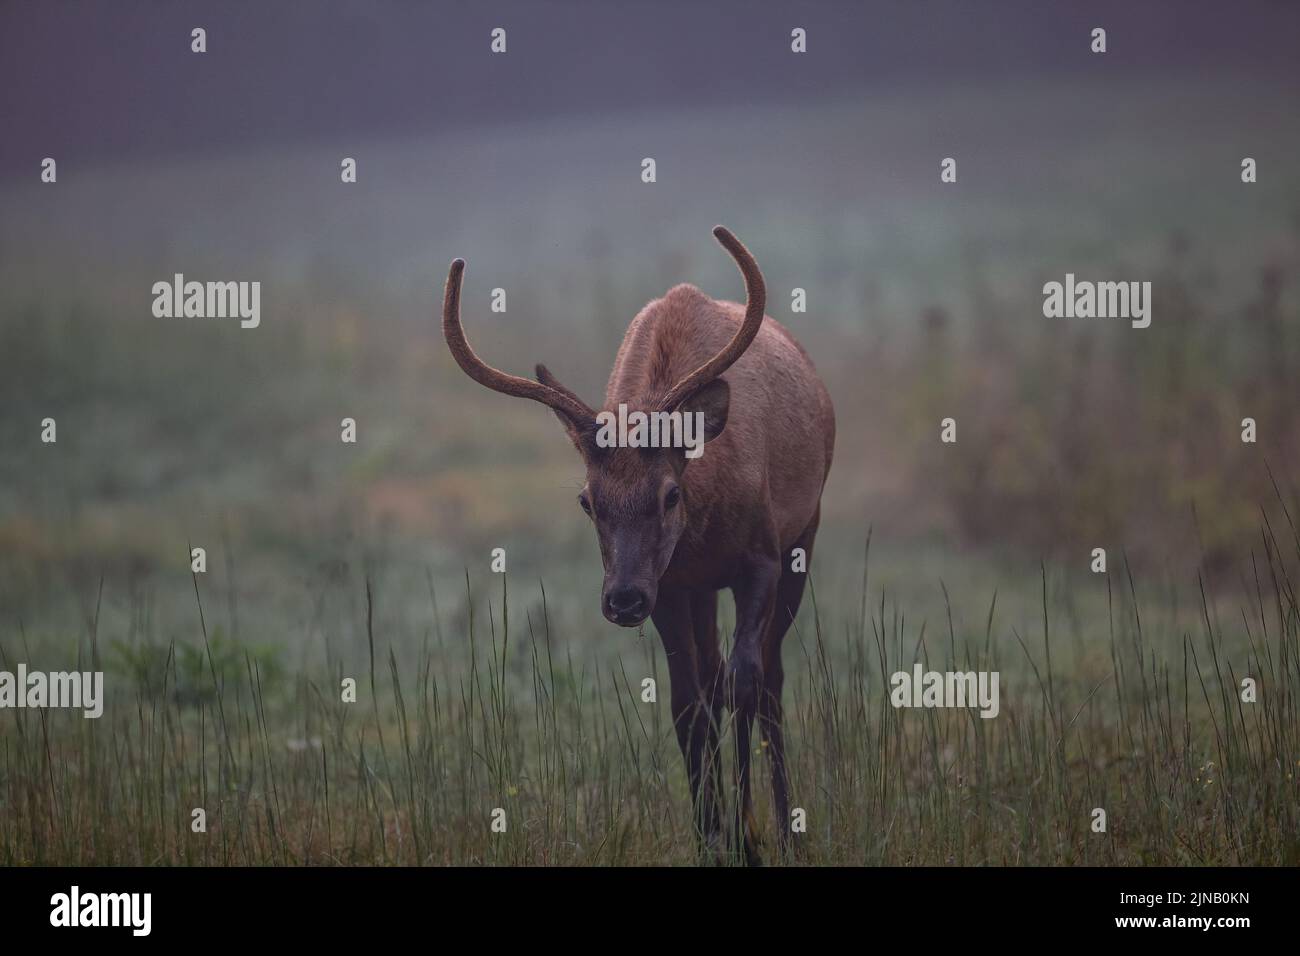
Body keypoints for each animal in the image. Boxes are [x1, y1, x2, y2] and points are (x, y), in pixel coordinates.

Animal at [441, 226, 835, 864]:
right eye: (586, 501)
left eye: (670, 494)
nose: (622, 599)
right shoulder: (671, 585)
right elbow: (688, 705)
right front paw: (712, 839)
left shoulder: (761, 559)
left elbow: (747, 684)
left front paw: (752, 838)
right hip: (700, 591)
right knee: (712, 680)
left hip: (807, 534)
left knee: (769, 679)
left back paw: (786, 830)